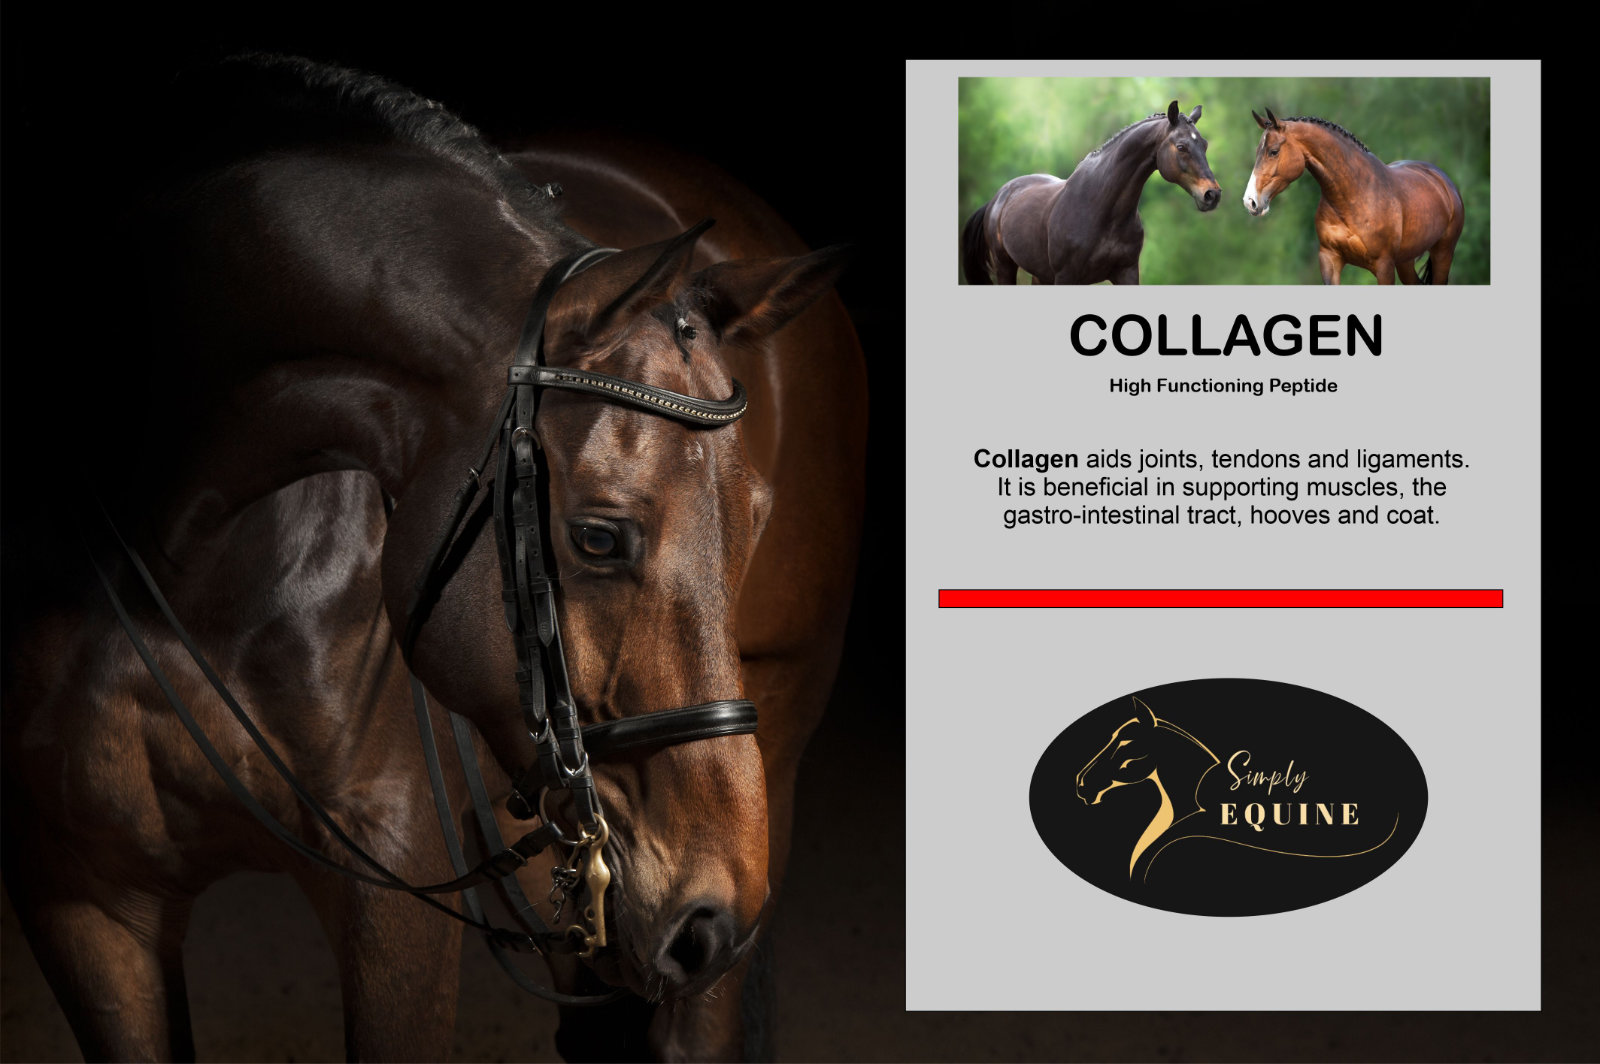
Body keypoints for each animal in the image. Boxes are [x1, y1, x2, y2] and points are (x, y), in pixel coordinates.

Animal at [0, 53, 866, 1062]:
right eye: (598, 536)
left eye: (750, 521)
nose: (711, 912)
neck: (179, 557)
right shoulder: (82, 900)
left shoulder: (397, 886)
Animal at [961, 101, 1220, 285]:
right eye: (1181, 147)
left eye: (1205, 144)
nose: (1212, 195)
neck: (1103, 209)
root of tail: (998, 198)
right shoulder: (1066, 278)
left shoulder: (1127, 273)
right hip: (1005, 267)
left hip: (1040, 275)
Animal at [1242, 108, 1465, 284]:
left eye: (1273, 151)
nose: (1250, 201)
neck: (1352, 196)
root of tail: (1442, 180)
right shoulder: (1330, 260)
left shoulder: (1384, 267)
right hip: (1406, 261)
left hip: (1443, 254)